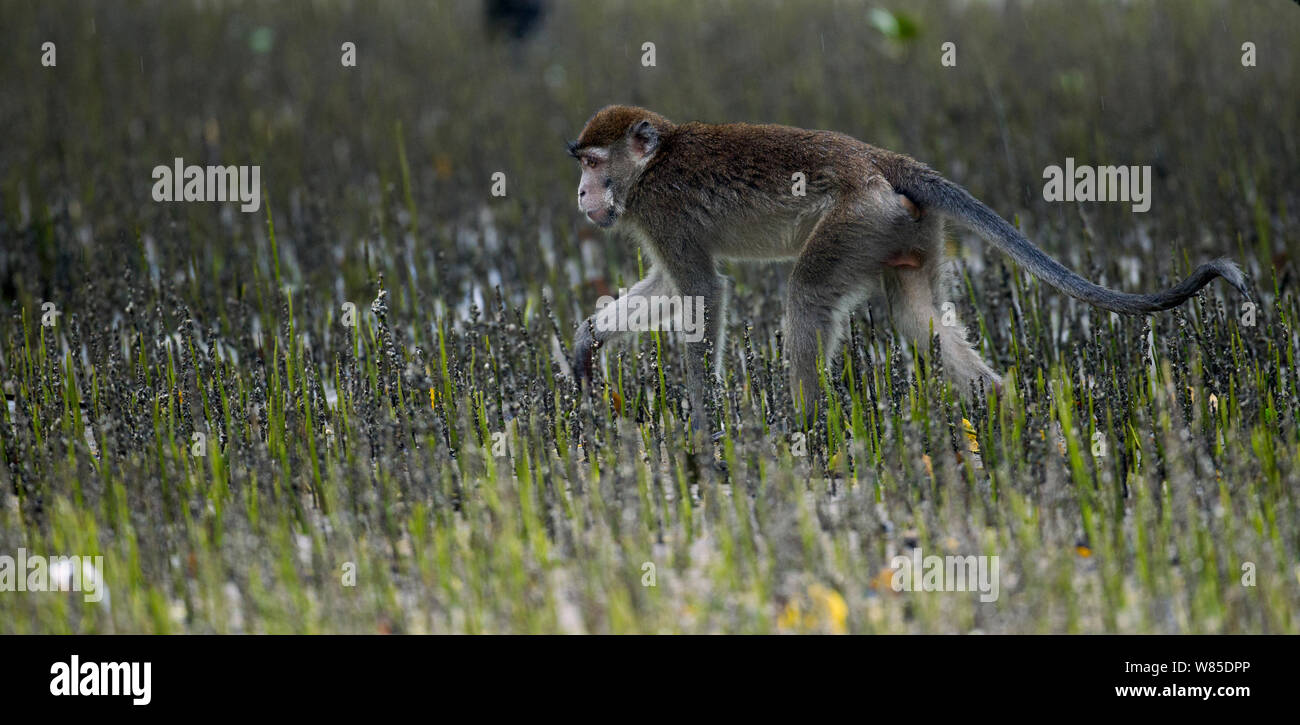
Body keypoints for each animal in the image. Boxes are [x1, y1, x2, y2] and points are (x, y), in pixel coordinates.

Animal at [567, 105, 1248, 426]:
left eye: (594, 163)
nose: (581, 193)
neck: (652, 164)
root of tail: (879, 160)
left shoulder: (662, 207)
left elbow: (702, 292)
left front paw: (705, 420)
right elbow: (670, 285)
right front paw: (589, 337)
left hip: (859, 215)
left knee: (807, 292)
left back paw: (805, 428)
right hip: (903, 227)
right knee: (917, 320)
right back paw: (1003, 414)